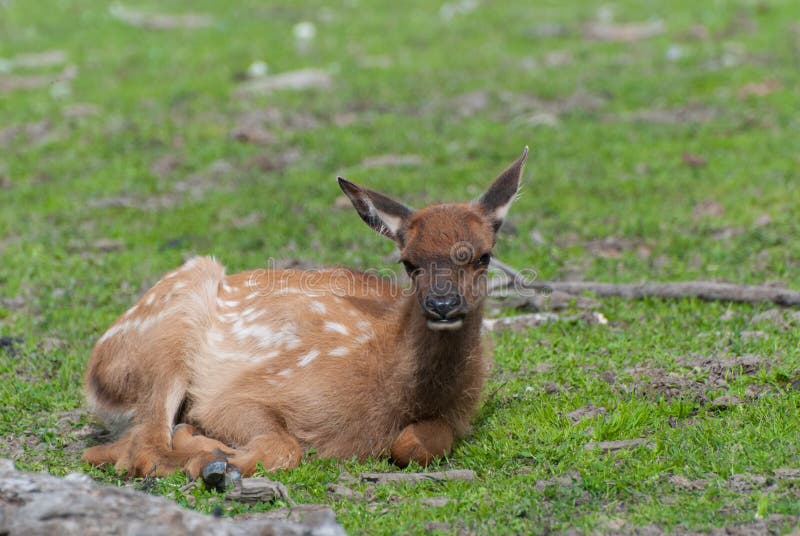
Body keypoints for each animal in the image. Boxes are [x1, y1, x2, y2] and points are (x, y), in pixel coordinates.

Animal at [82, 147, 528, 488]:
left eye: (483, 256)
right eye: (408, 262)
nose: (443, 305)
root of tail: (93, 371)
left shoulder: (458, 418)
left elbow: (416, 444)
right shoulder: (241, 393)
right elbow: (285, 446)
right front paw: (213, 453)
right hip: (165, 336)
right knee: (143, 448)